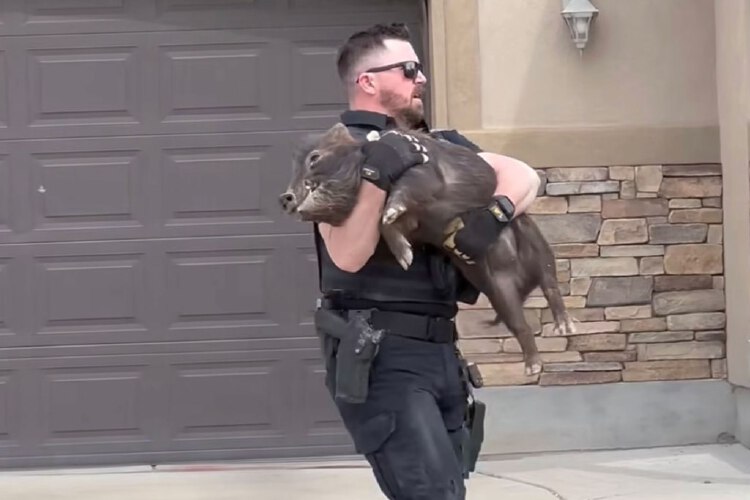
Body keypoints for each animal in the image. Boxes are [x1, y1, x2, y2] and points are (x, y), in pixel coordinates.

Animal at [279, 123, 576, 375]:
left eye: (314, 157)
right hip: (498, 291)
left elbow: (403, 192)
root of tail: (523, 281)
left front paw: (394, 221)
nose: (285, 197)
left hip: (537, 246)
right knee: (520, 325)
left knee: (551, 284)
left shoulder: (425, 171)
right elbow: (385, 226)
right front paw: (406, 258)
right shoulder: (412, 223)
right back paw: (533, 368)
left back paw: (565, 328)